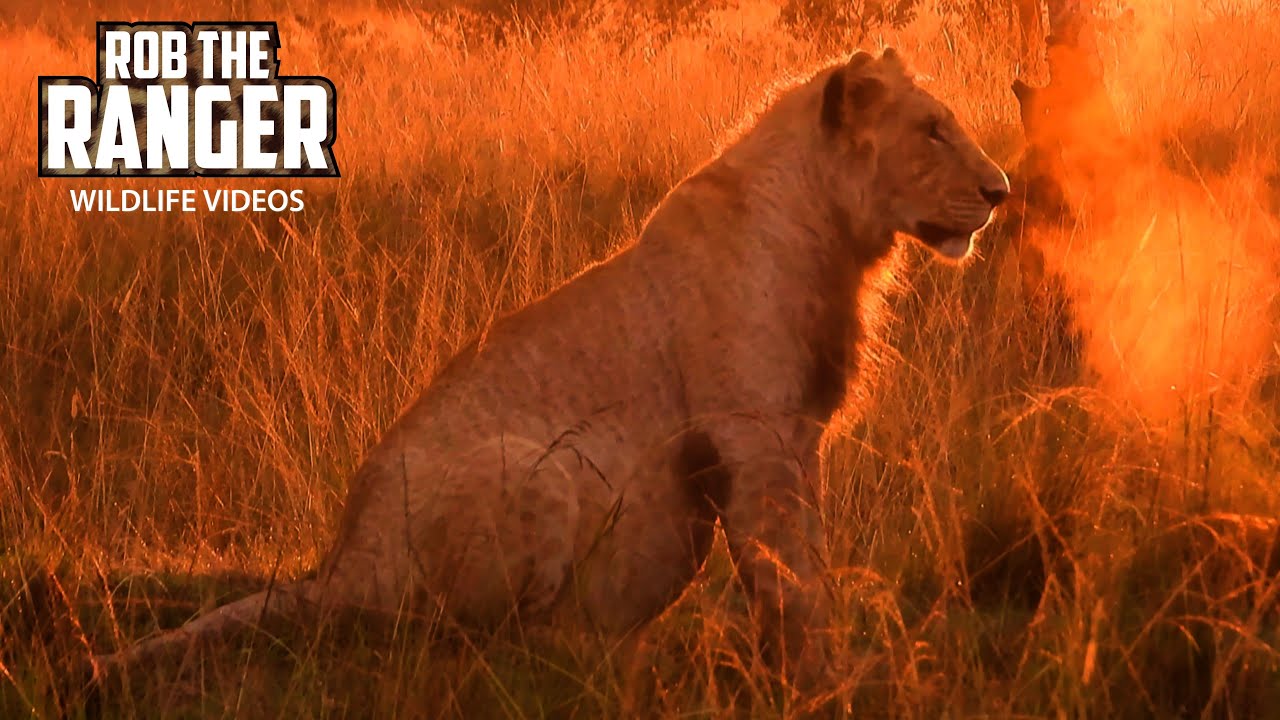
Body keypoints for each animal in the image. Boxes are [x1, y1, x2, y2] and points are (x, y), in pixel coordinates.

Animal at [93, 48, 1008, 690]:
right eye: (931, 131)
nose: (1001, 190)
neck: (842, 239)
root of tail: (338, 565)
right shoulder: (753, 435)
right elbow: (788, 572)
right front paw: (823, 676)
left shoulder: (797, 438)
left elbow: (804, 559)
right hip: (539, 468)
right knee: (452, 649)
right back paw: (589, 658)